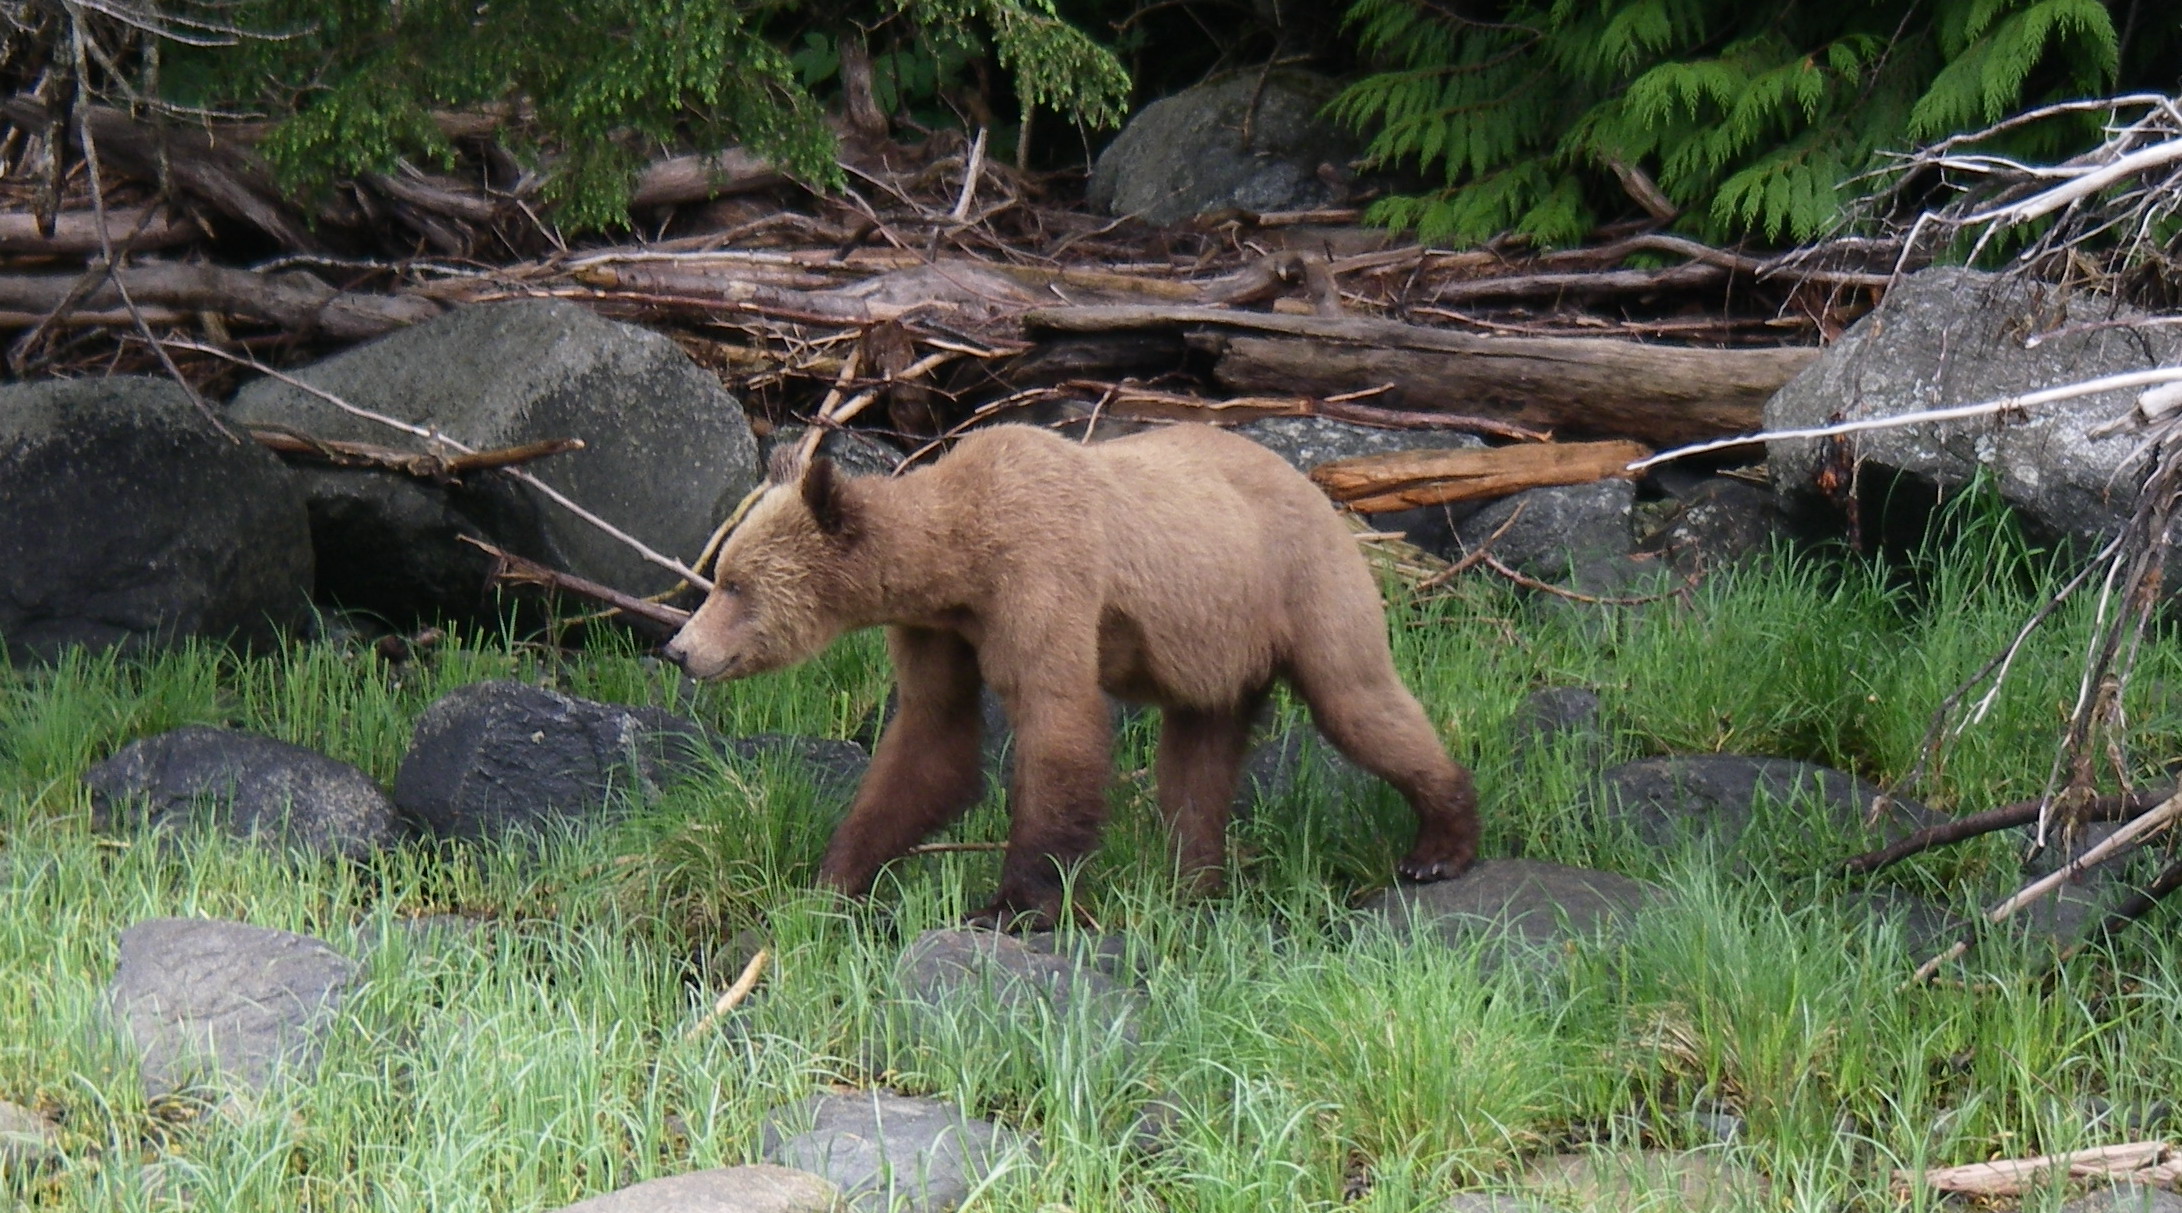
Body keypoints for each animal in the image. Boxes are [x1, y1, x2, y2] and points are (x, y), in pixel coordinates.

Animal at [662, 422, 1479, 927]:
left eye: (734, 585)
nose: (679, 648)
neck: (955, 562)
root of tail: (1322, 492)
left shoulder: (1041, 571)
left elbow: (1057, 721)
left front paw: (1010, 904)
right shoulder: (939, 631)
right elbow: (928, 743)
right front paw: (831, 878)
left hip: (1301, 586)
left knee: (1358, 701)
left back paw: (1440, 845)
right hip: (1211, 645)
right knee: (1197, 765)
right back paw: (1192, 882)